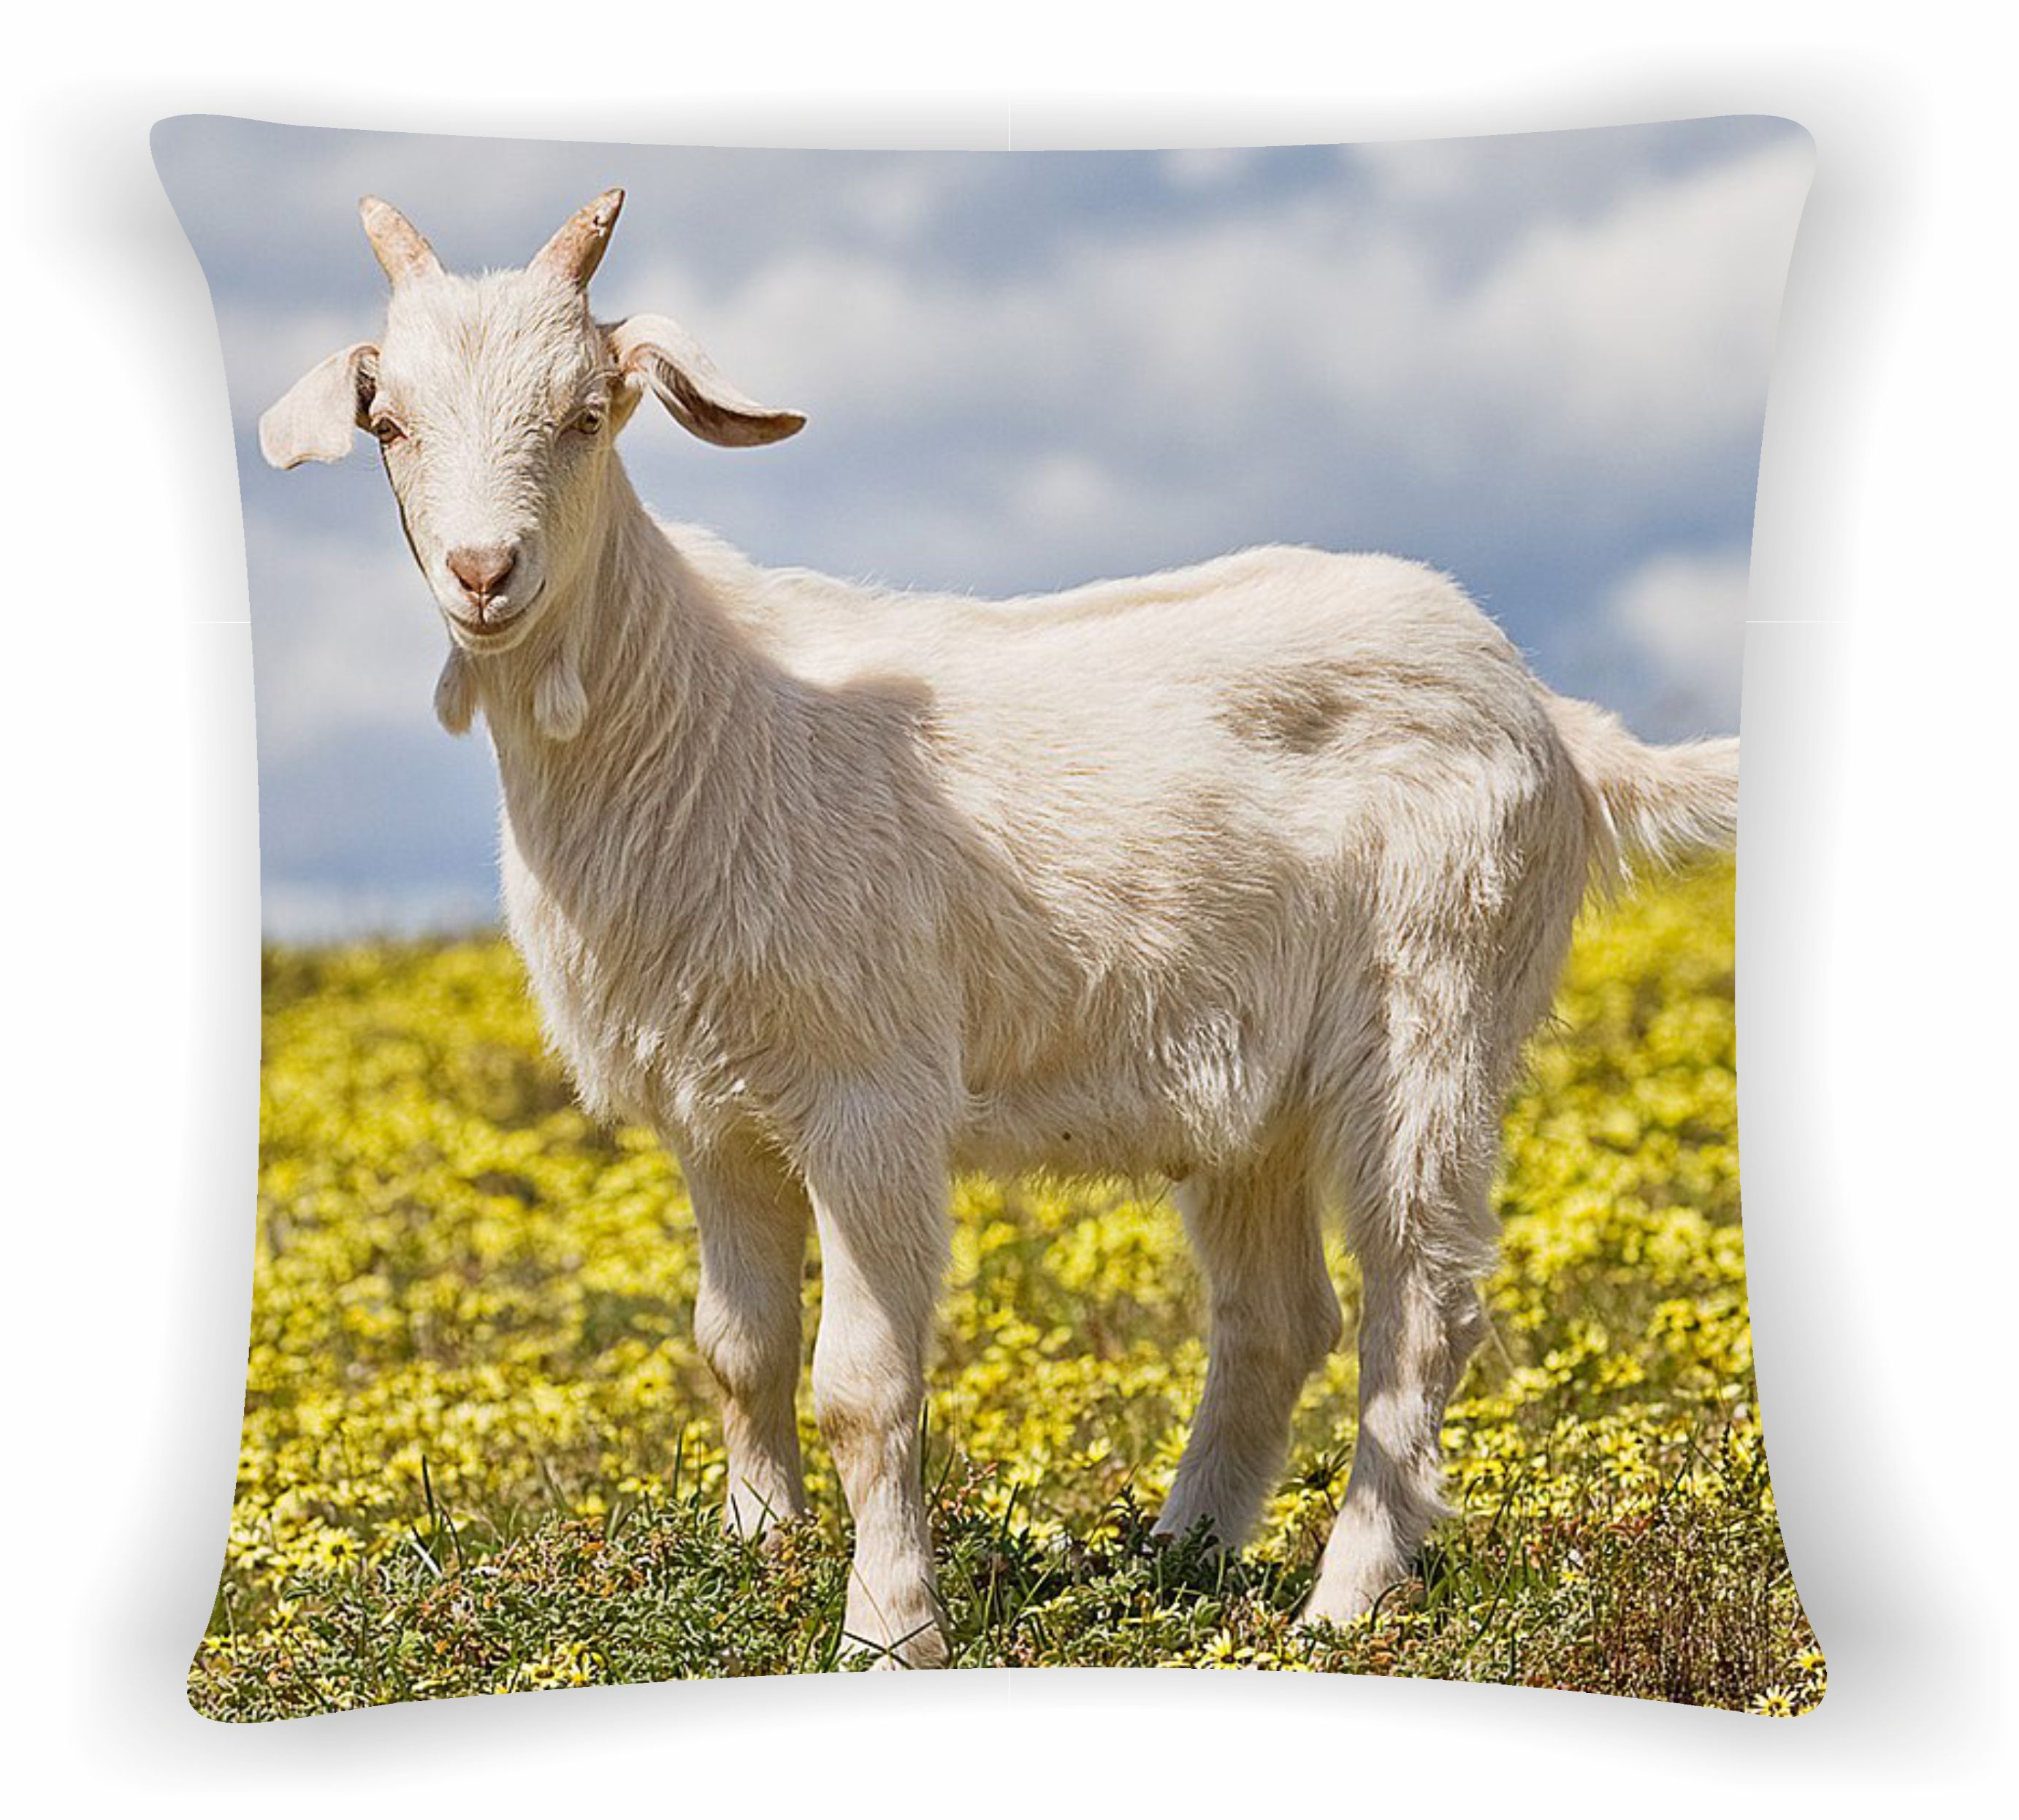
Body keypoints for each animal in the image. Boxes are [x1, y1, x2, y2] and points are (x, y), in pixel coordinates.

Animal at [262, 189, 1740, 1667]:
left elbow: (861, 1384)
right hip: (1250, 1087)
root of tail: (1554, 720)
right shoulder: (711, 1111)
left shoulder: (869, 1095)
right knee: (1275, 1319)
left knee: (1419, 1307)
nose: (483, 572)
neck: (701, 714)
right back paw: (1176, 1567)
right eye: (388, 424)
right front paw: (759, 1561)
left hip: (1435, 1009)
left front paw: (886, 1630)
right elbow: (735, 1350)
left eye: (584, 413)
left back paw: (1344, 1598)